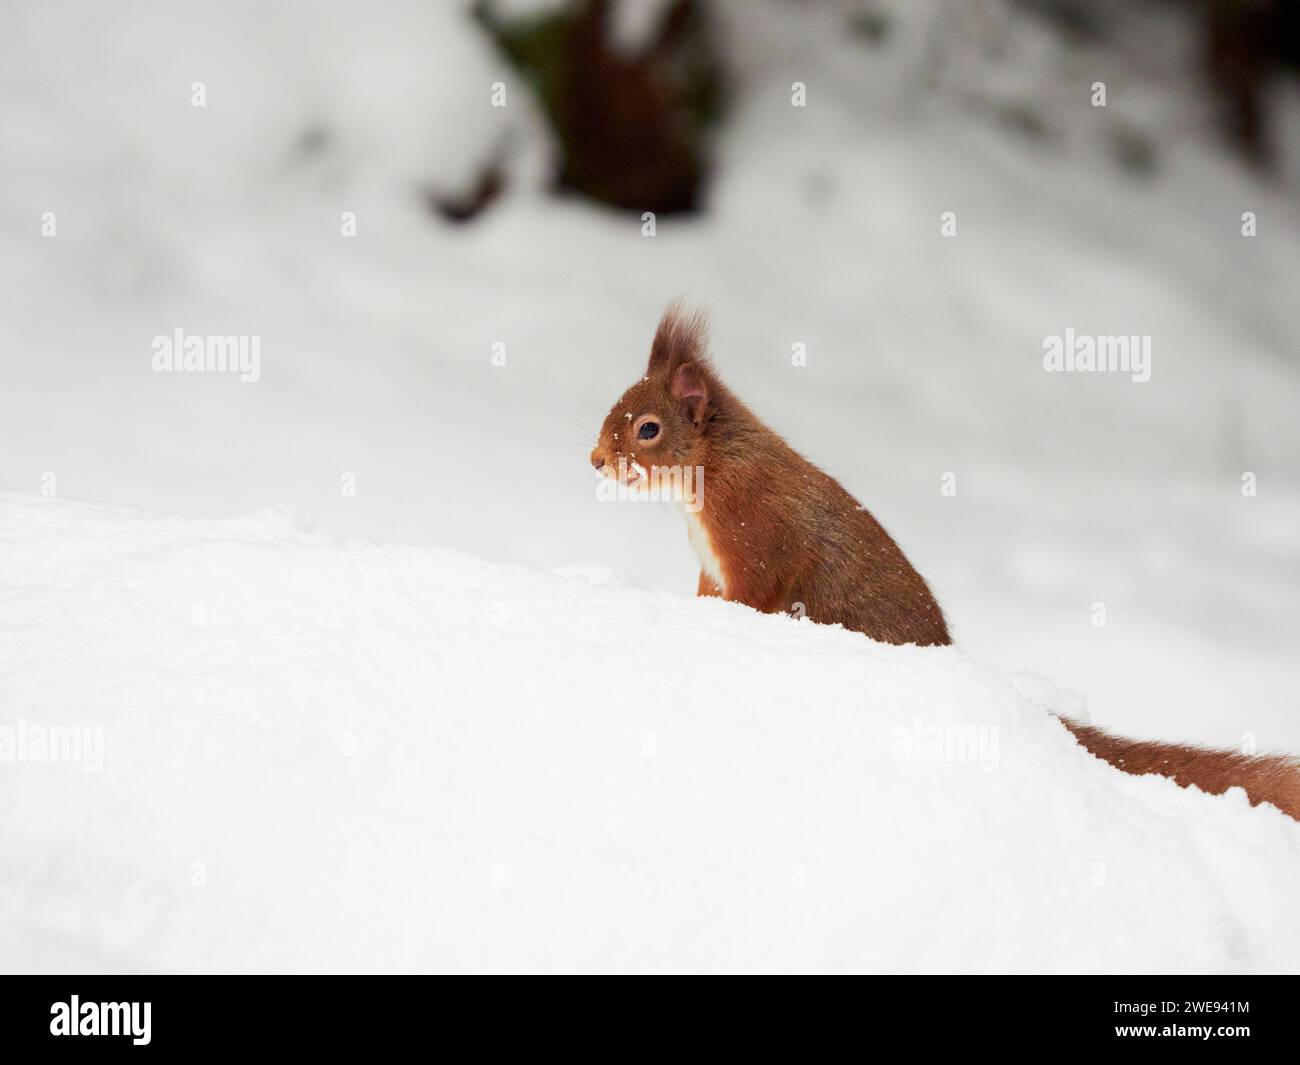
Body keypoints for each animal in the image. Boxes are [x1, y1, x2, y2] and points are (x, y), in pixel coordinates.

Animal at [591, 305, 1300, 822]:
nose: (596, 460)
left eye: (648, 428)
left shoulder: (755, 537)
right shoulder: (712, 568)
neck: (712, 467)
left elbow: (754, 596)